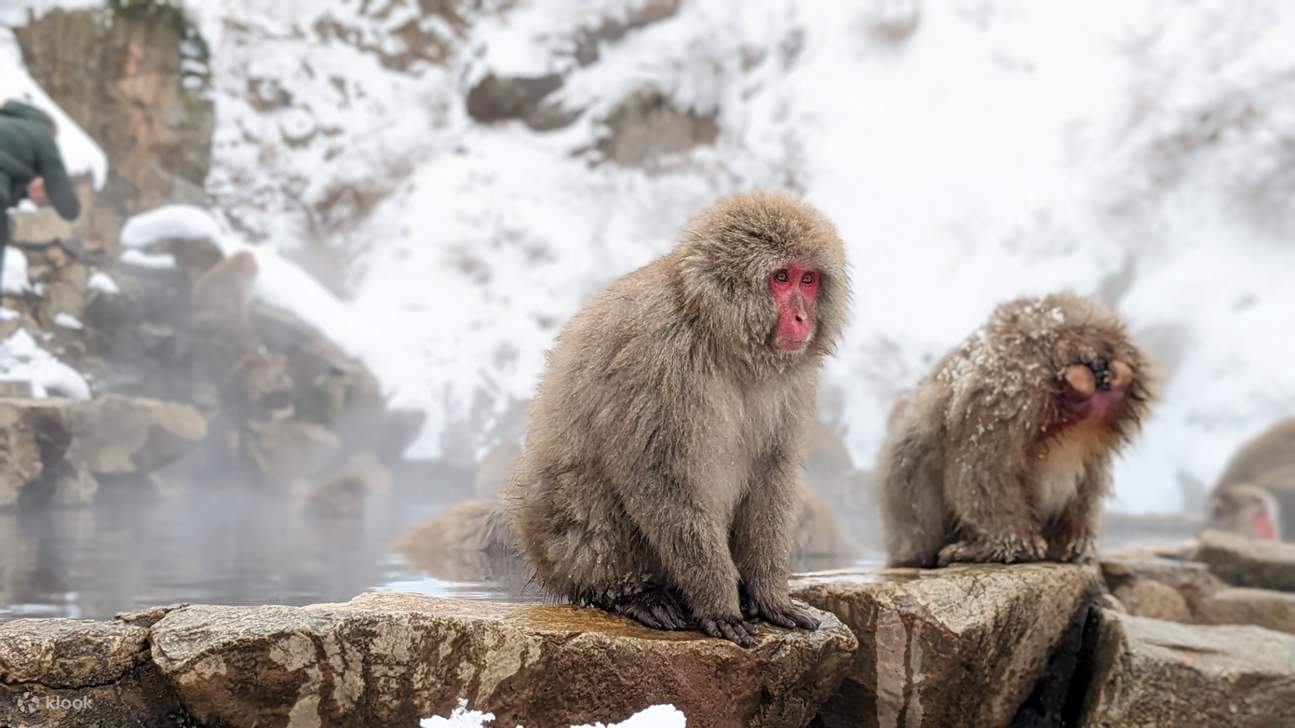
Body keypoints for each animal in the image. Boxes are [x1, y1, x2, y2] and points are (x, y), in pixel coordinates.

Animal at [505, 191, 848, 646]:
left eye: (808, 280)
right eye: (781, 277)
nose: (801, 318)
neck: (720, 337)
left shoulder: (794, 383)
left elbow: (771, 472)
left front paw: (769, 597)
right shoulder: (658, 357)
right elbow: (661, 478)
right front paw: (718, 605)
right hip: (555, 543)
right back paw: (634, 594)